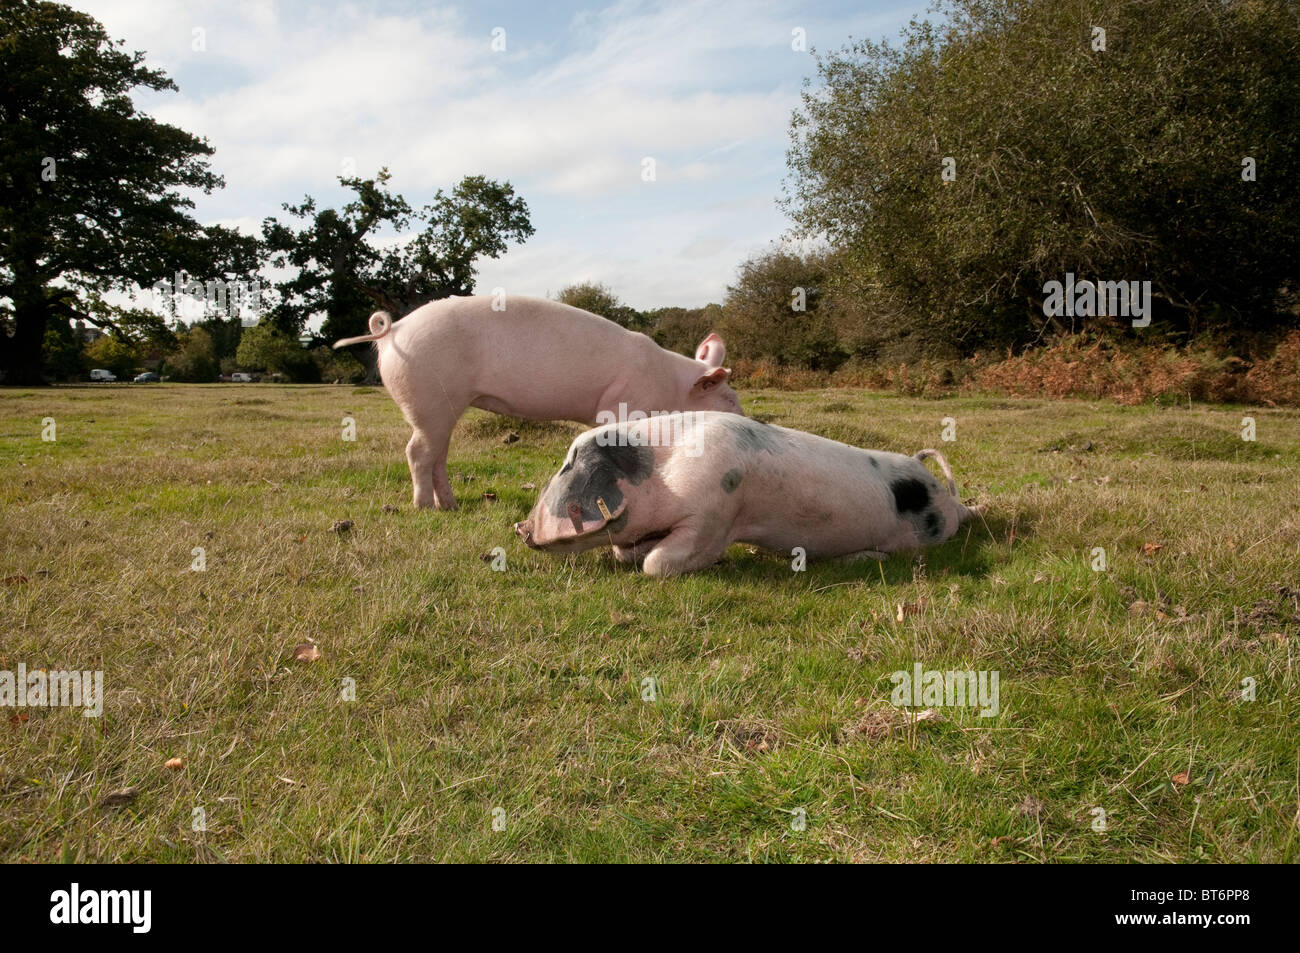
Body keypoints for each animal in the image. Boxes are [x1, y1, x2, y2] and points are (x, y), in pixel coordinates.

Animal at [333, 295, 743, 509]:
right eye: (727, 395)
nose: (747, 421)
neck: (669, 385)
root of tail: (394, 330)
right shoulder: (621, 405)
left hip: (441, 407)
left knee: (438, 455)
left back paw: (450, 504)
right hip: (427, 398)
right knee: (417, 451)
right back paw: (424, 508)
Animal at [514, 411, 984, 576]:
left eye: (566, 465)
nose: (520, 528)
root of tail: (954, 505)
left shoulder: (715, 512)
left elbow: (654, 564)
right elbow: (625, 552)